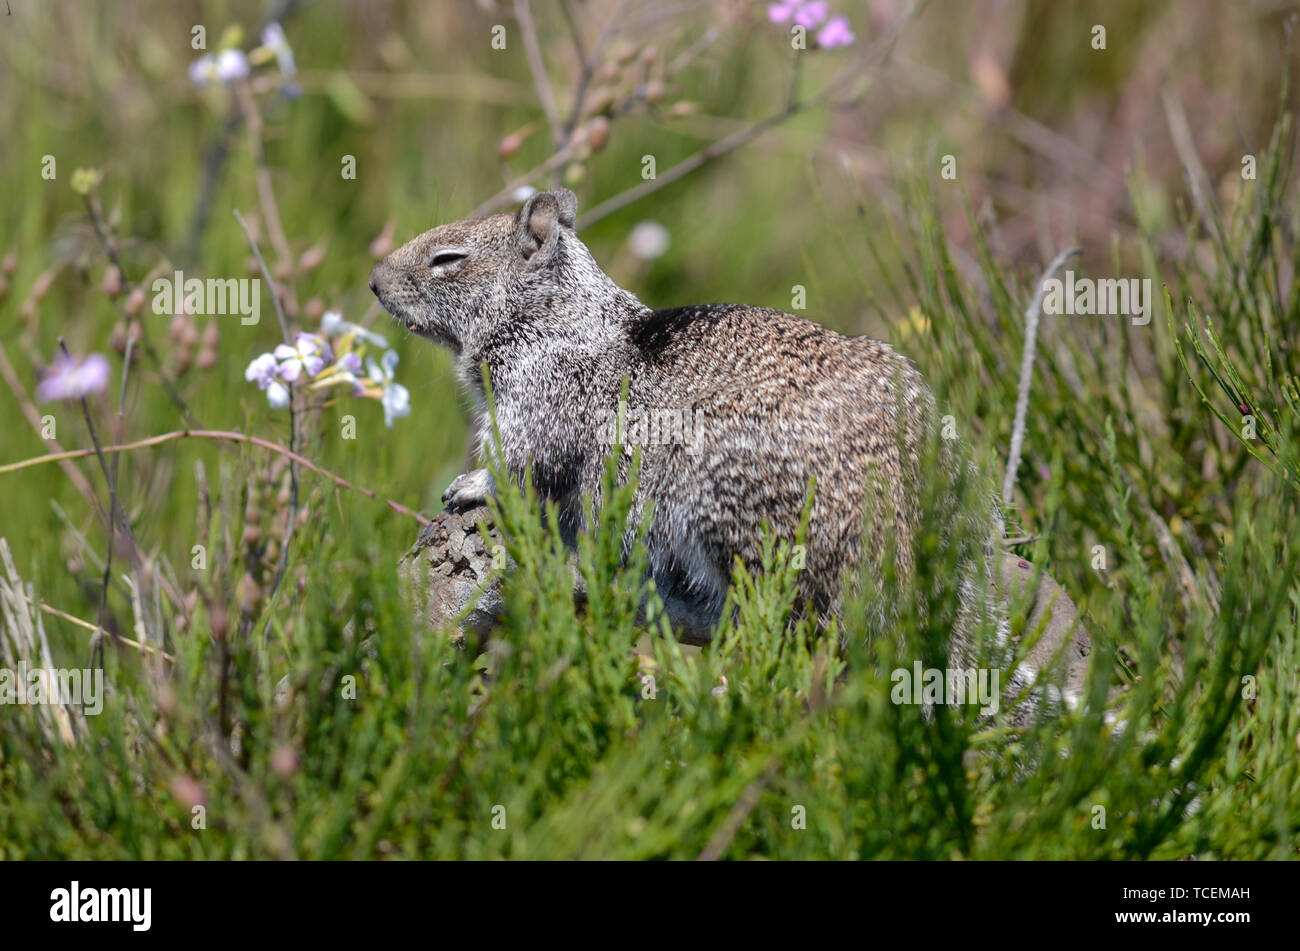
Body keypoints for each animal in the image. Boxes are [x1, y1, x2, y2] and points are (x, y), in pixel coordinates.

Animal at [370, 188, 1003, 649]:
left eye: (448, 258)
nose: (374, 282)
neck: (556, 316)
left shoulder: (539, 404)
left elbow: (522, 465)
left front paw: (473, 484)